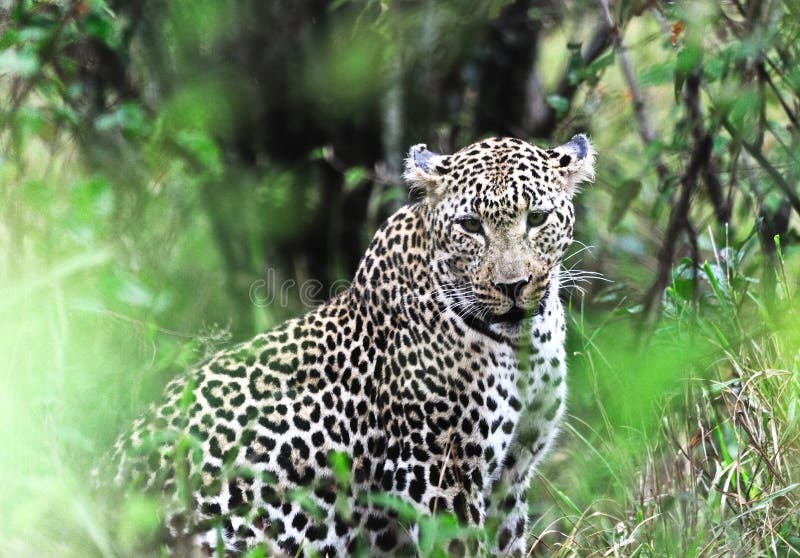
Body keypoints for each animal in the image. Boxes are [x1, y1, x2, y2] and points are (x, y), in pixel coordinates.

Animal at [98, 134, 596, 557]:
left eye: (537, 219)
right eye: (471, 226)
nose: (512, 286)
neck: (526, 344)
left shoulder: (512, 474)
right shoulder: (439, 476)